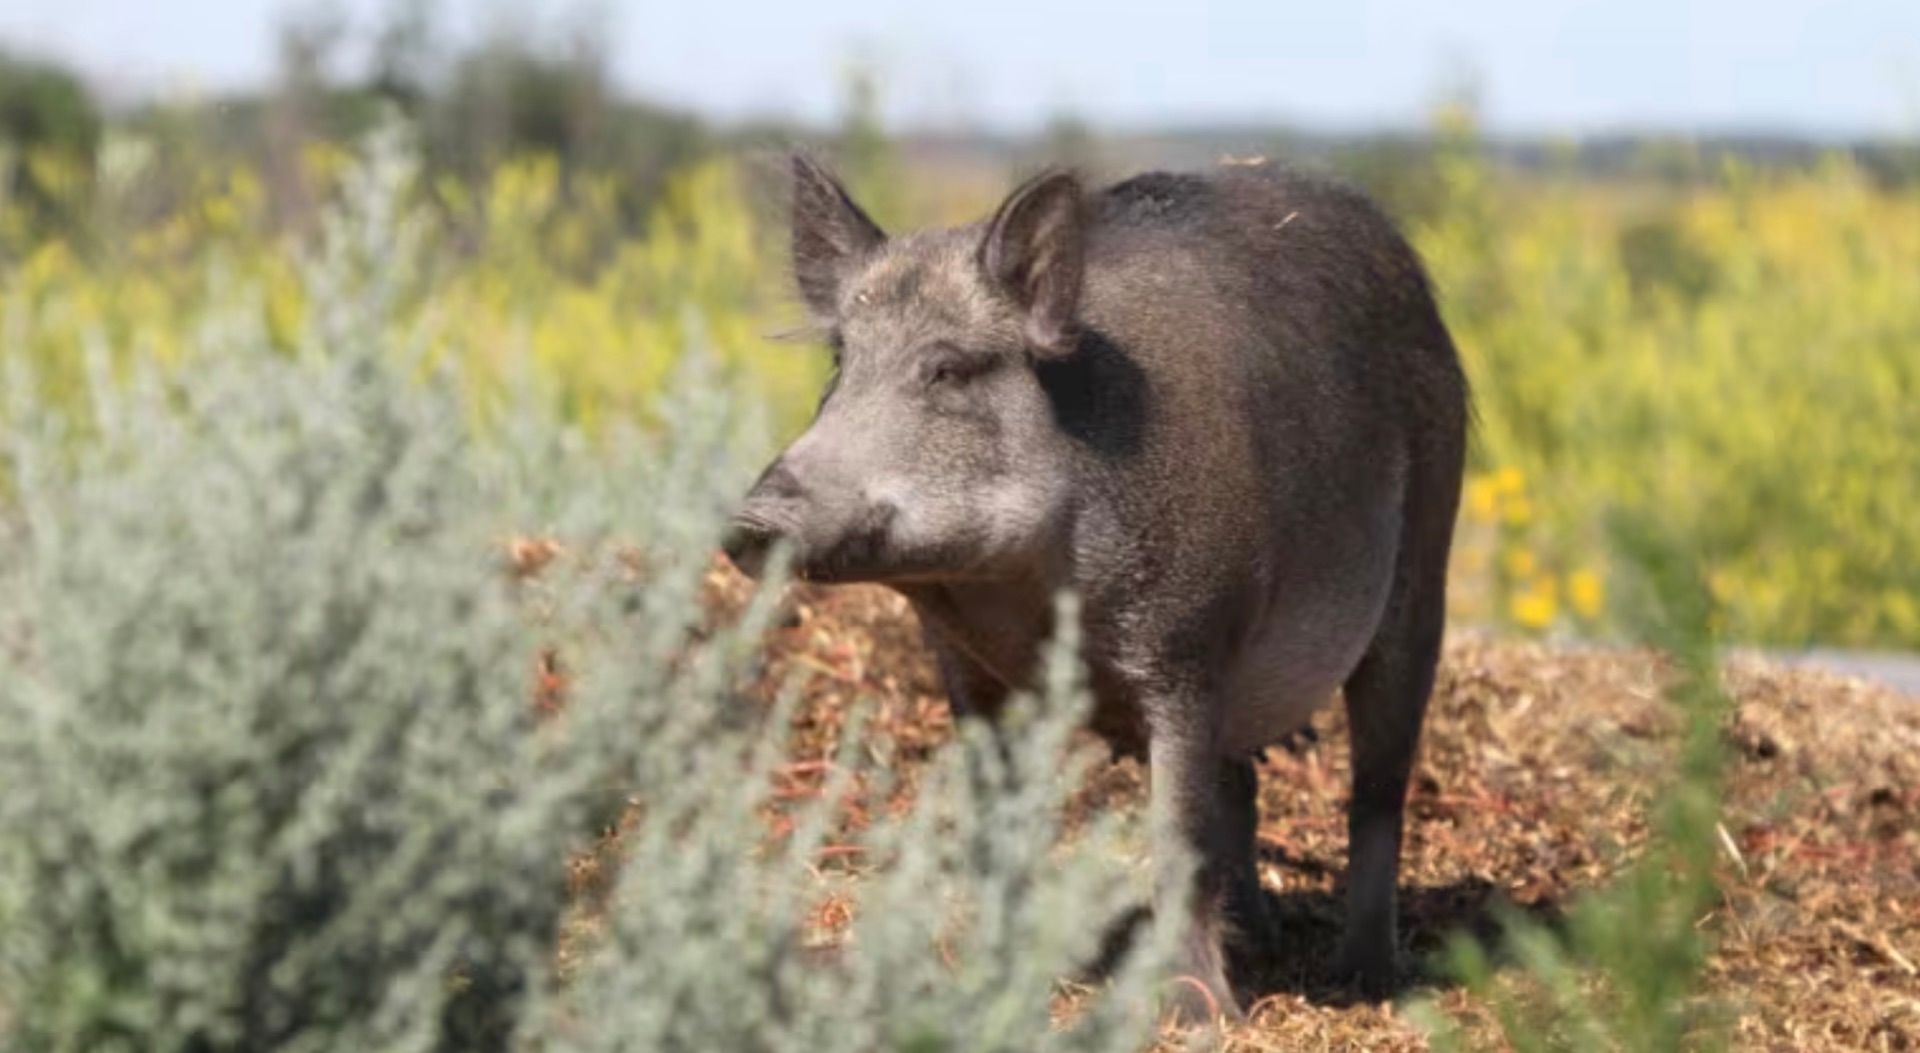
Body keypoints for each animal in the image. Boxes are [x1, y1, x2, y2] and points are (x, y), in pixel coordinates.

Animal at [724, 154, 1468, 1015]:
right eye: (841, 363)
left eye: (947, 368)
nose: (752, 516)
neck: (1023, 596)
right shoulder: (965, 670)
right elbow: (998, 826)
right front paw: (994, 975)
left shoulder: (1189, 647)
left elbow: (1177, 833)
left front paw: (1196, 1014)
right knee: (1243, 785)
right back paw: (1260, 940)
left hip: (1424, 569)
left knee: (1376, 789)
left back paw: (1367, 977)